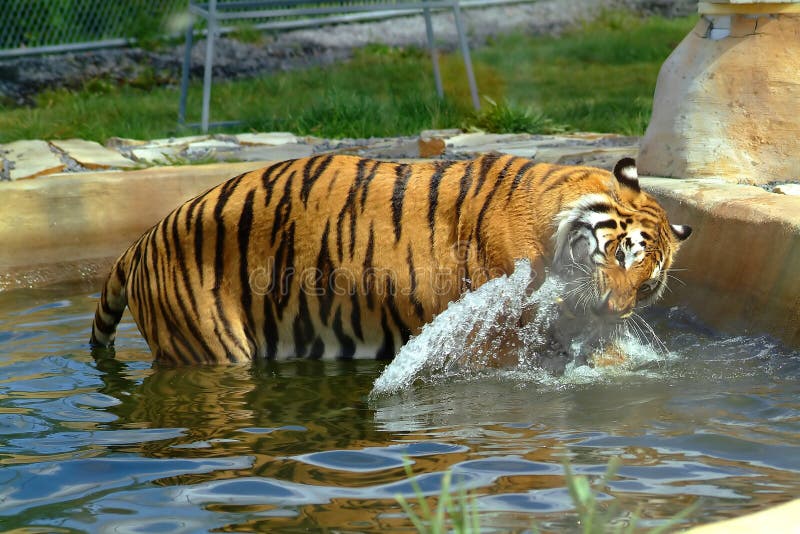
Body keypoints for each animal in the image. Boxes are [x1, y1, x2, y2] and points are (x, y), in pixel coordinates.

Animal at [90, 153, 691, 366]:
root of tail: (140, 242)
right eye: (620, 253)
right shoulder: (498, 334)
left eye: (648, 285)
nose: (613, 311)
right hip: (210, 345)